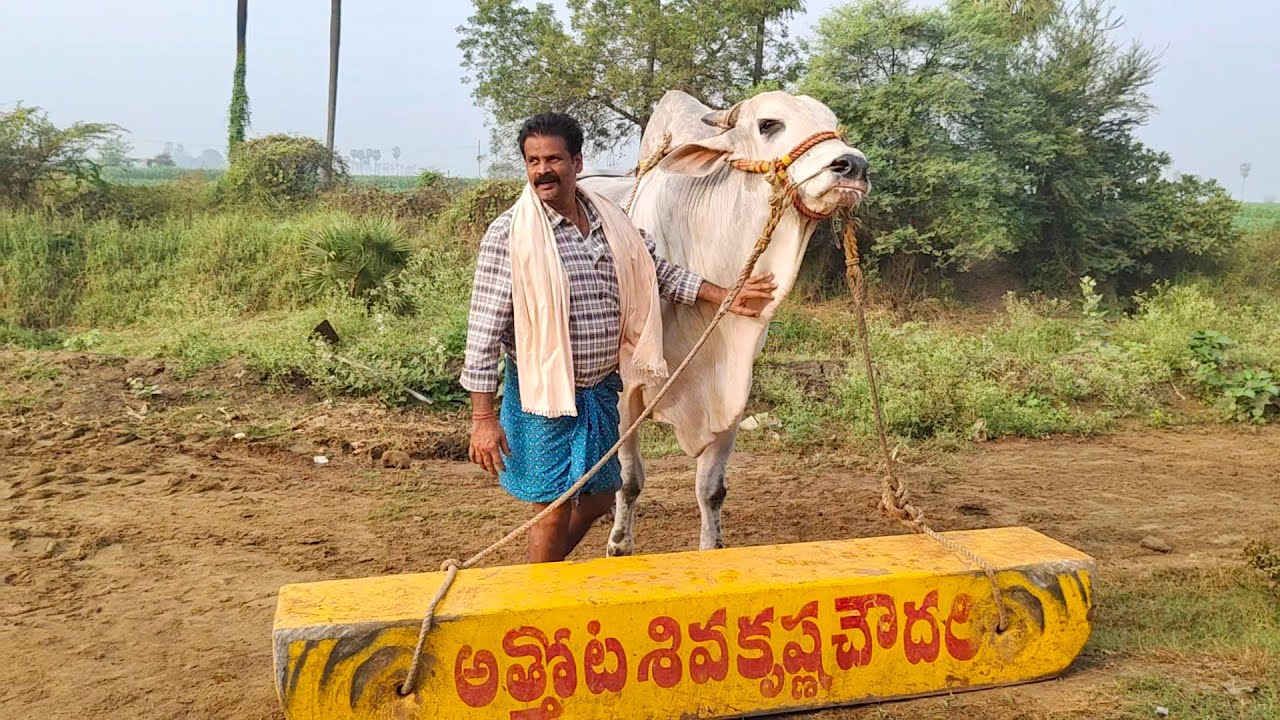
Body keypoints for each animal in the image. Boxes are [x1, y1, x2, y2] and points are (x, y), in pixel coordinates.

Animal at [578, 89, 870, 556]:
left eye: (835, 125)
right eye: (768, 123)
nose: (853, 166)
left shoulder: (732, 390)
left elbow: (711, 489)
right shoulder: (625, 393)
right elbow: (629, 479)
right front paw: (619, 544)